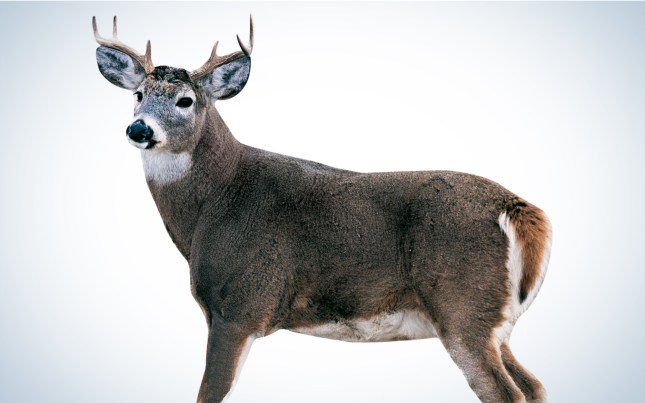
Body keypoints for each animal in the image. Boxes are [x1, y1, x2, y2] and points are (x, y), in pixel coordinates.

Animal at [93, 16, 552, 403]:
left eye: (186, 100)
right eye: (137, 95)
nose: (139, 129)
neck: (214, 204)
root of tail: (520, 209)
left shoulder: (239, 305)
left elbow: (209, 392)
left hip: (463, 305)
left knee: (507, 392)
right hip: (494, 321)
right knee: (534, 386)